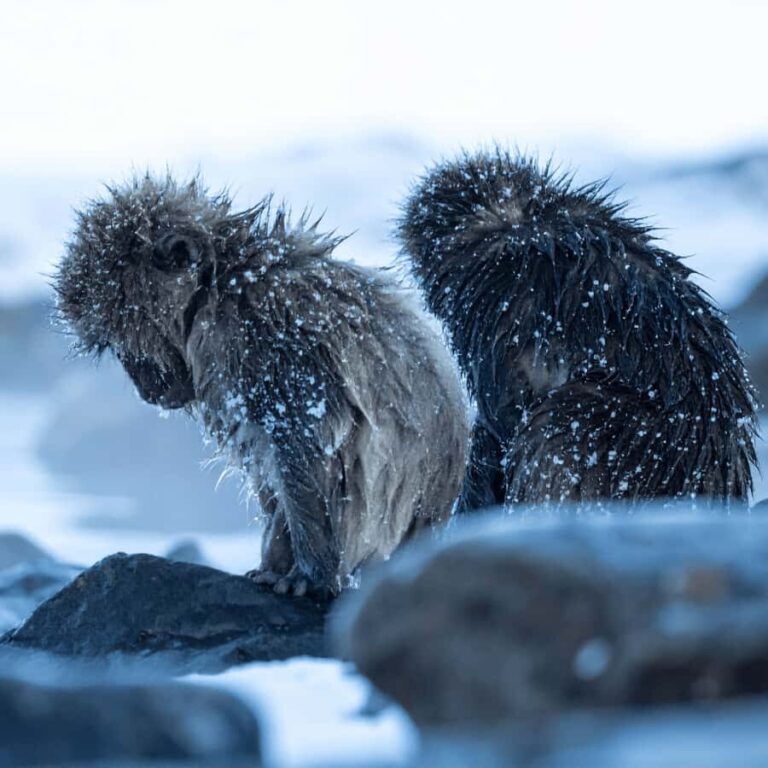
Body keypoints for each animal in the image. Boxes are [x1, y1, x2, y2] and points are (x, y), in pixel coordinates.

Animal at [54, 173, 469, 596]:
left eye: (130, 337)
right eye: (116, 347)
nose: (144, 388)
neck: (219, 287)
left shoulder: (270, 344)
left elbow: (302, 447)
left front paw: (310, 574)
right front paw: (274, 561)